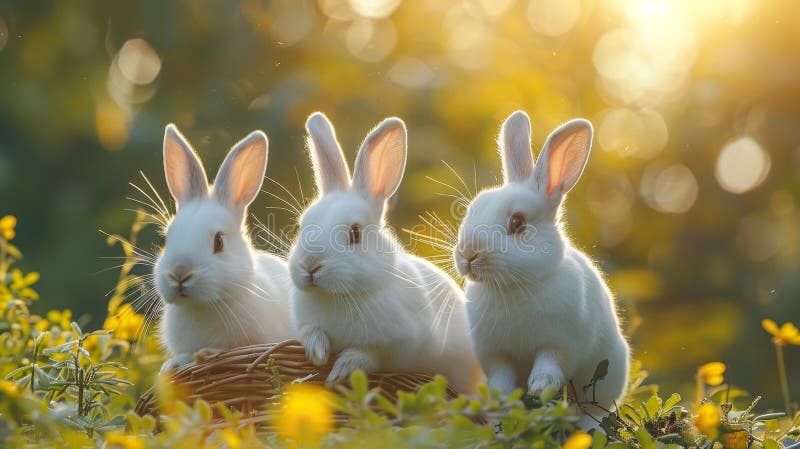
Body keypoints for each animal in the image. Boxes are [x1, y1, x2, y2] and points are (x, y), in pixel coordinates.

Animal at [154, 124, 293, 372]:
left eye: (218, 241)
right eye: (168, 237)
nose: (180, 273)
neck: (204, 306)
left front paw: (204, 354)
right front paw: (171, 365)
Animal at [288, 112, 485, 393]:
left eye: (355, 233)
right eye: (302, 225)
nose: (310, 265)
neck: (340, 297)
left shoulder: (404, 347)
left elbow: (372, 355)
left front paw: (343, 368)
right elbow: (309, 331)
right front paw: (317, 350)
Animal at [453, 111, 630, 427]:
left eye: (517, 223)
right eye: (472, 209)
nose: (467, 256)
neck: (513, 287)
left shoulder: (560, 343)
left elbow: (549, 364)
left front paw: (539, 388)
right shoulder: (495, 353)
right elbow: (501, 378)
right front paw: (498, 401)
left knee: (597, 412)